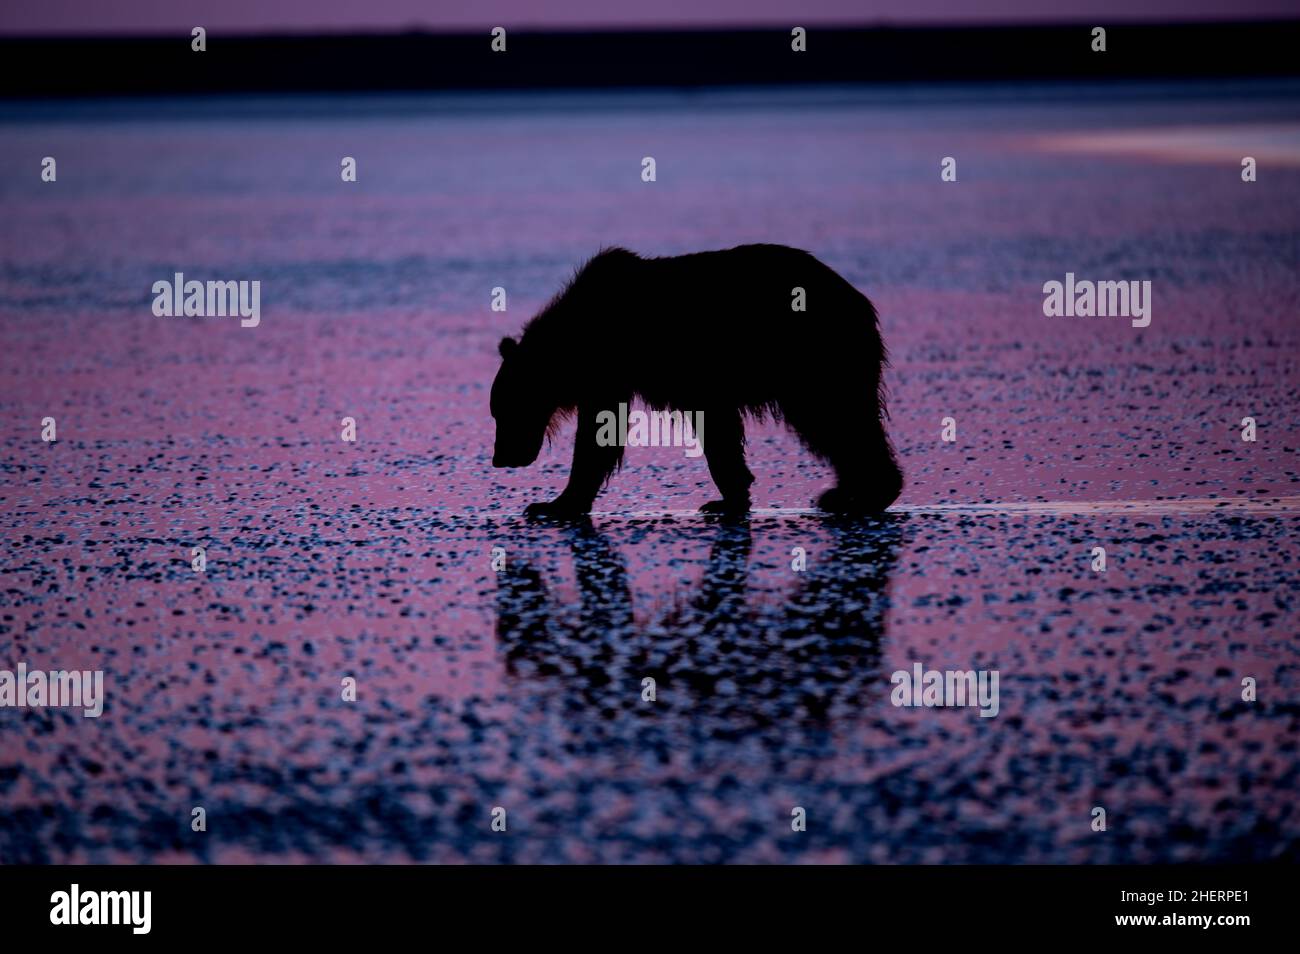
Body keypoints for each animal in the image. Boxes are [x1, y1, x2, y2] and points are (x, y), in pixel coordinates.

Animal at [490, 244, 903, 517]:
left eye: (503, 412)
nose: (499, 458)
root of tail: (858, 299)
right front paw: (731, 495)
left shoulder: (628, 367)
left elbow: (599, 436)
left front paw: (553, 504)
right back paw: (850, 491)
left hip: (814, 358)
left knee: (836, 420)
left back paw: (866, 493)